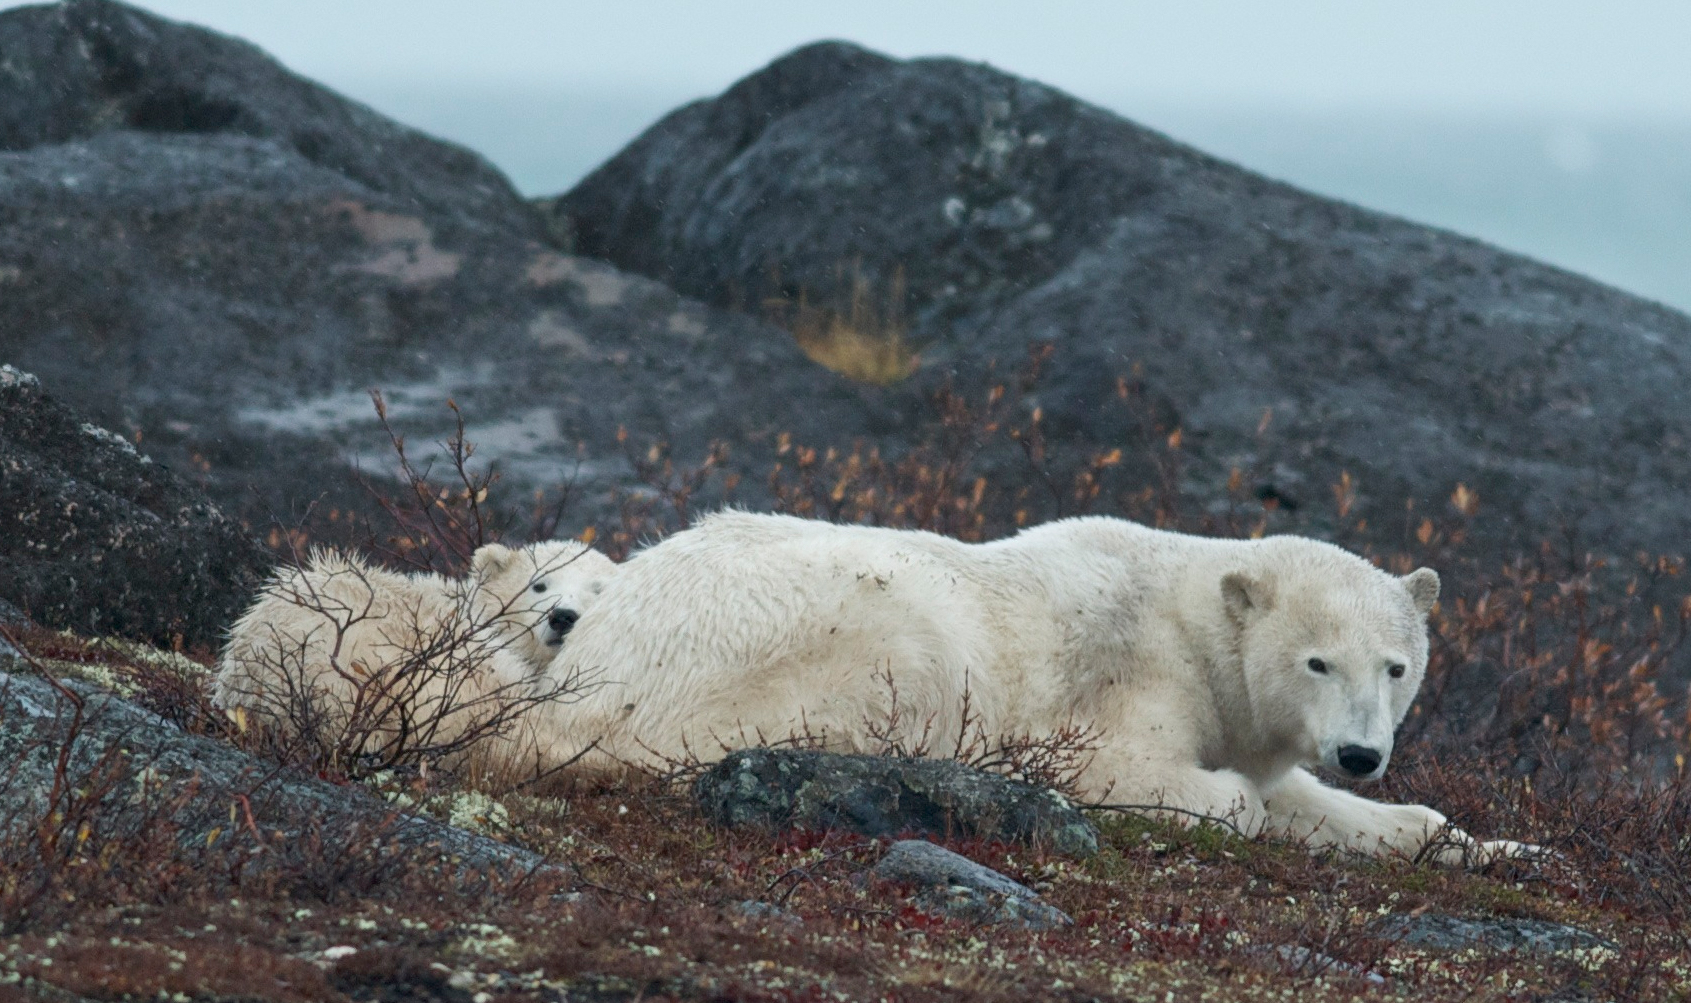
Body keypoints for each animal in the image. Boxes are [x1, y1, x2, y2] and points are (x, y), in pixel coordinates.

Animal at [527, 510, 1534, 865]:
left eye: (1395, 666)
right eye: (1316, 660)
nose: (1361, 750)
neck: (1190, 611)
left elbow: (1310, 798)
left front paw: (1492, 845)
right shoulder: (1120, 679)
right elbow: (1161, 777)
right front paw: (1225, 798)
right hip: (830, 627)